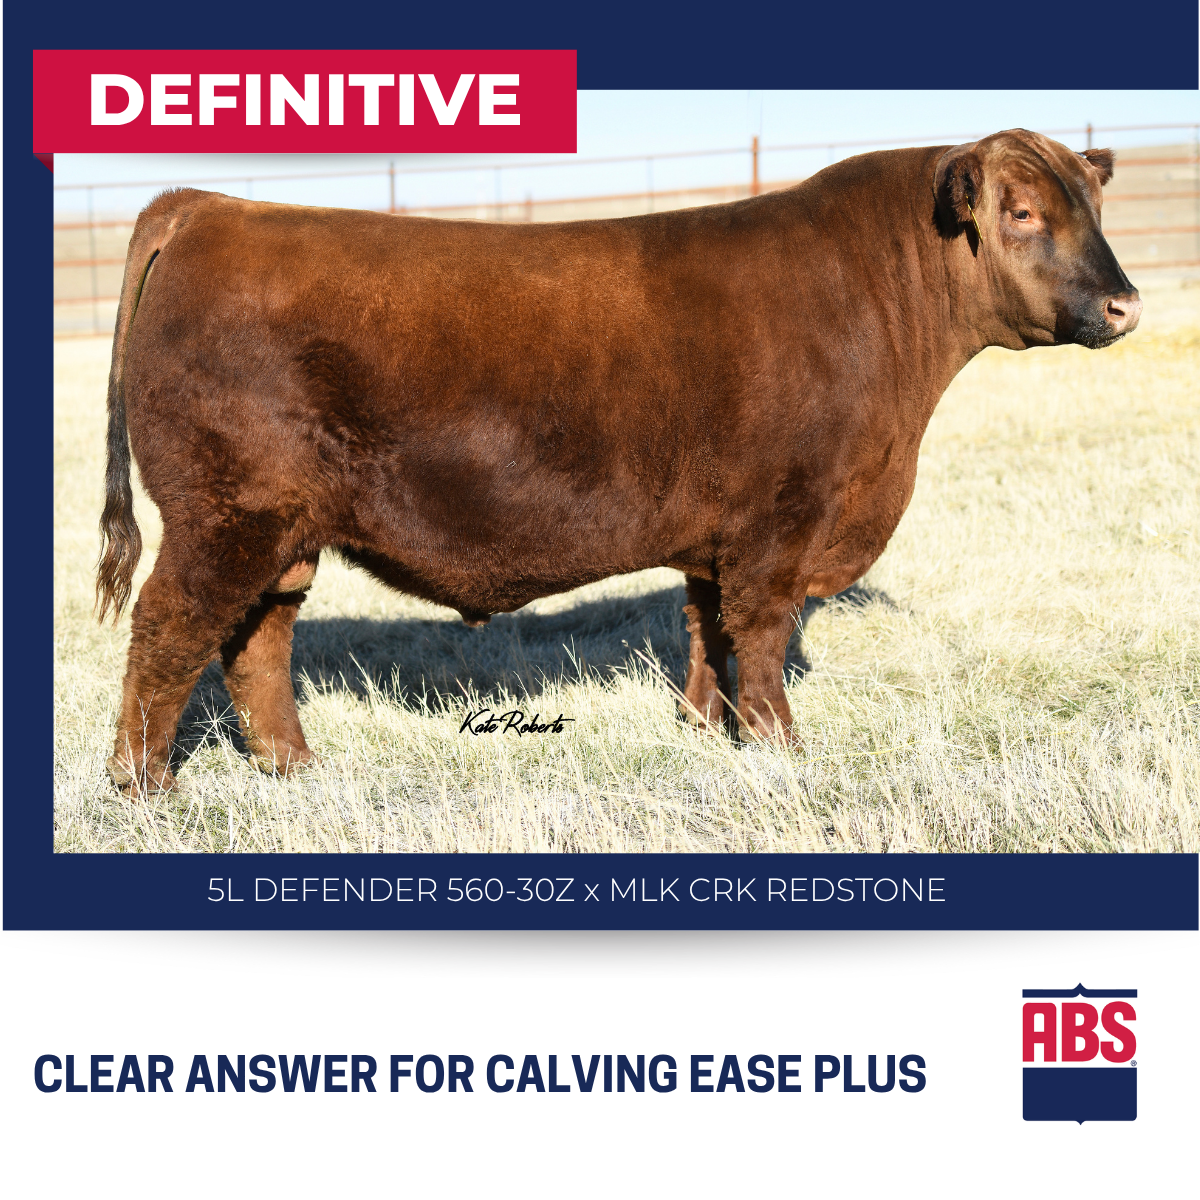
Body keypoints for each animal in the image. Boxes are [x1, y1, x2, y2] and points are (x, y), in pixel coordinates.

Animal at [96, 128, 1140, 796]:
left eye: (1092, 208)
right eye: (1020, 213)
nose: (1125, 304)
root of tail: (208, 206)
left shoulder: (717, 534)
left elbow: (707, 630)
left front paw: (707, 729)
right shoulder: (780, 525)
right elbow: (761, 636)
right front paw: (781, 750)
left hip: (283, 528)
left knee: (257, 639)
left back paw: (295, 770)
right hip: (226, 514)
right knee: (171, 627)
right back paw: (146, 788)